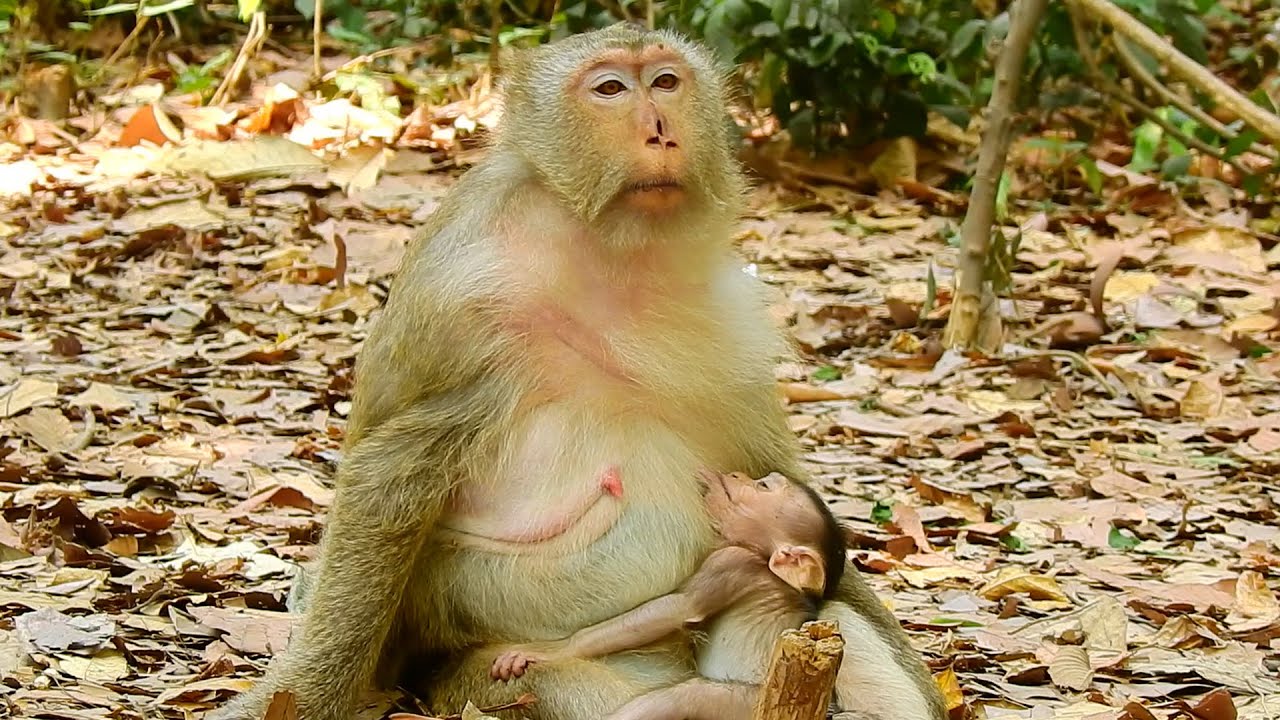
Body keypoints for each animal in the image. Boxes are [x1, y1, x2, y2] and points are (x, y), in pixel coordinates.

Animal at [488, 469, 847, 720]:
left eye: (763, 488)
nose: (737, 475)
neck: (761, 558)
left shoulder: (732, 562)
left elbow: (677, 608)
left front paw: (548, 651)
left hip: (747, 706)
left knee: (685, 698)